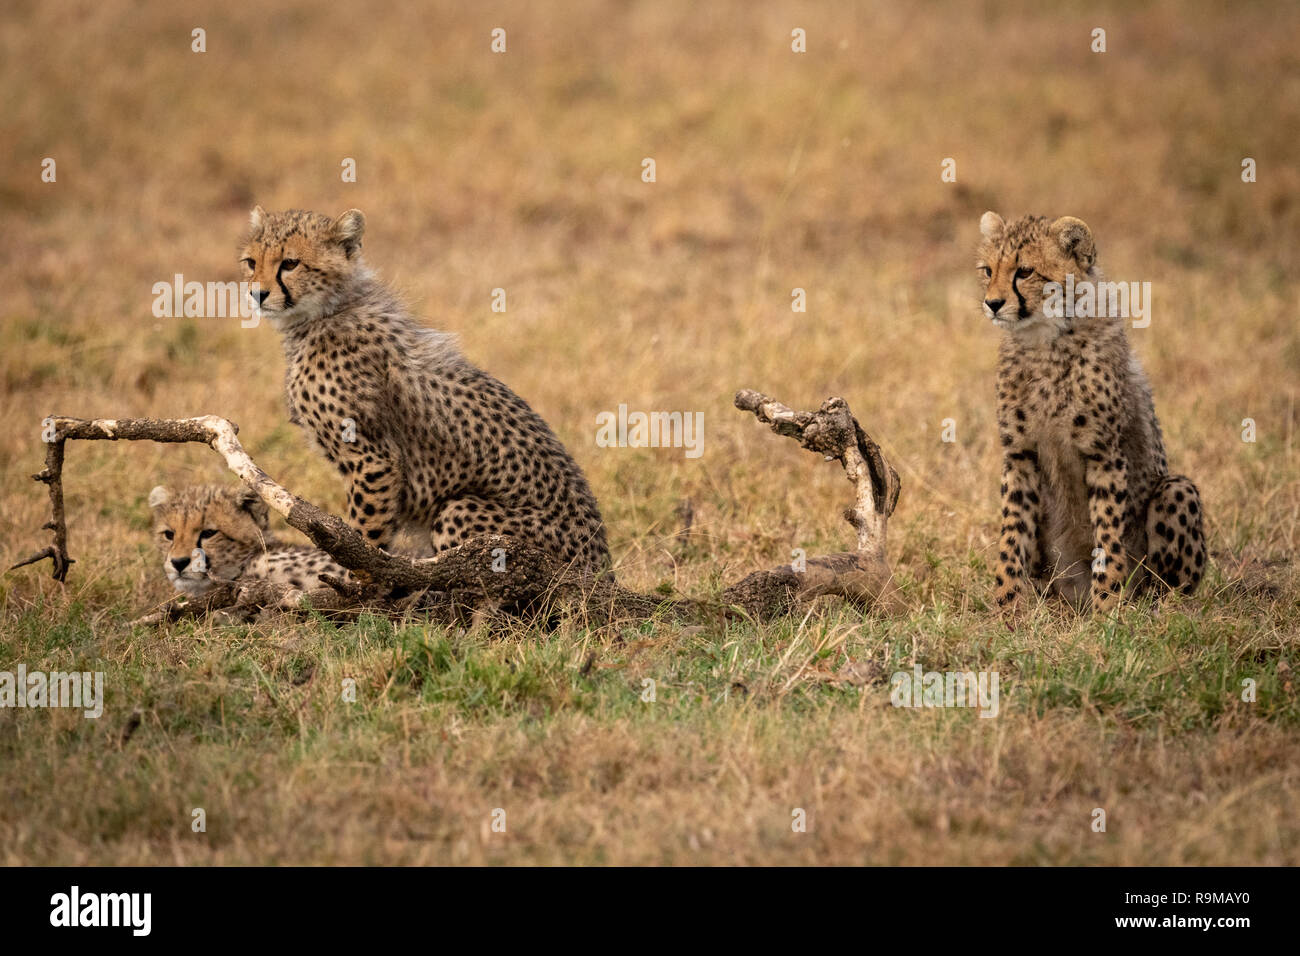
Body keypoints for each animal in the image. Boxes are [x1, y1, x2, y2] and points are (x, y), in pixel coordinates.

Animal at [238, 206, 611, 575]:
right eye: (251, 262)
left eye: (290, 263)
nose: (258, 294)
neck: (326, 312)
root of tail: (602, 568)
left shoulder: (373, 460)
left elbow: (362, 540)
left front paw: (353, 586)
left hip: (461, 512)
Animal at [976, 211, 1205, 619]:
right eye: (988, 270)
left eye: (1025, 271)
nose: (992, 303)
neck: (1045, 340)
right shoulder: (1020, 454)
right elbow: (1011, 532)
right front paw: (1007, 607)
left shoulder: (1104, 453)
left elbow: (1108, 535)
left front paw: (1108, 609)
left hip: (1176, 490)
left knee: (1169, 585)